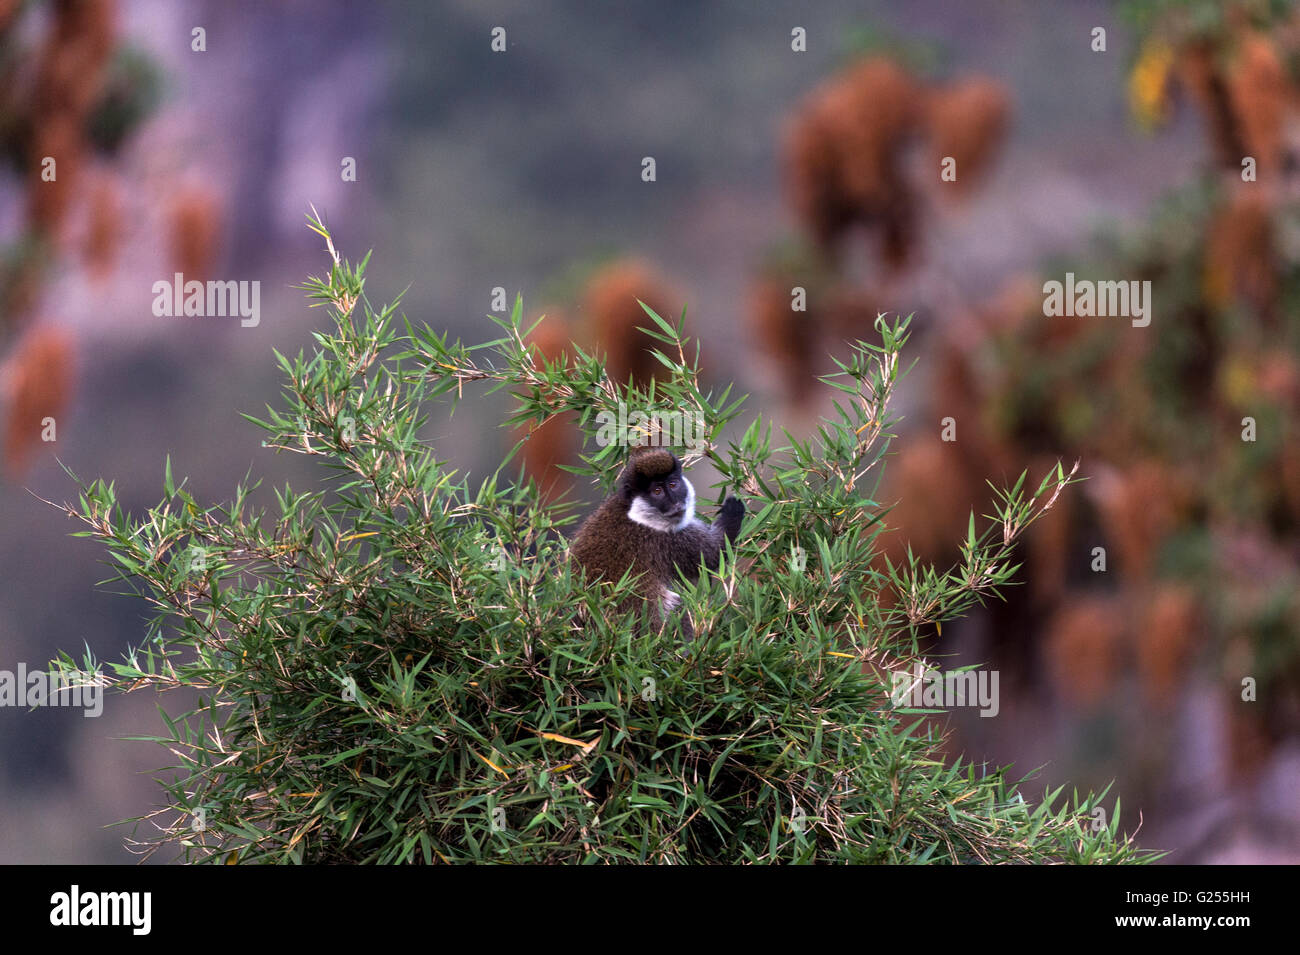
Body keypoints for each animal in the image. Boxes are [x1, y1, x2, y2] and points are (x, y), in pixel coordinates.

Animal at [570, 447, 745, 628]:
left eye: (673, 485)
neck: (635, 513)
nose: (676, 504)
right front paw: (734, 507)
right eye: (657, 492)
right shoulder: (671, 540)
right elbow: (715, 552)